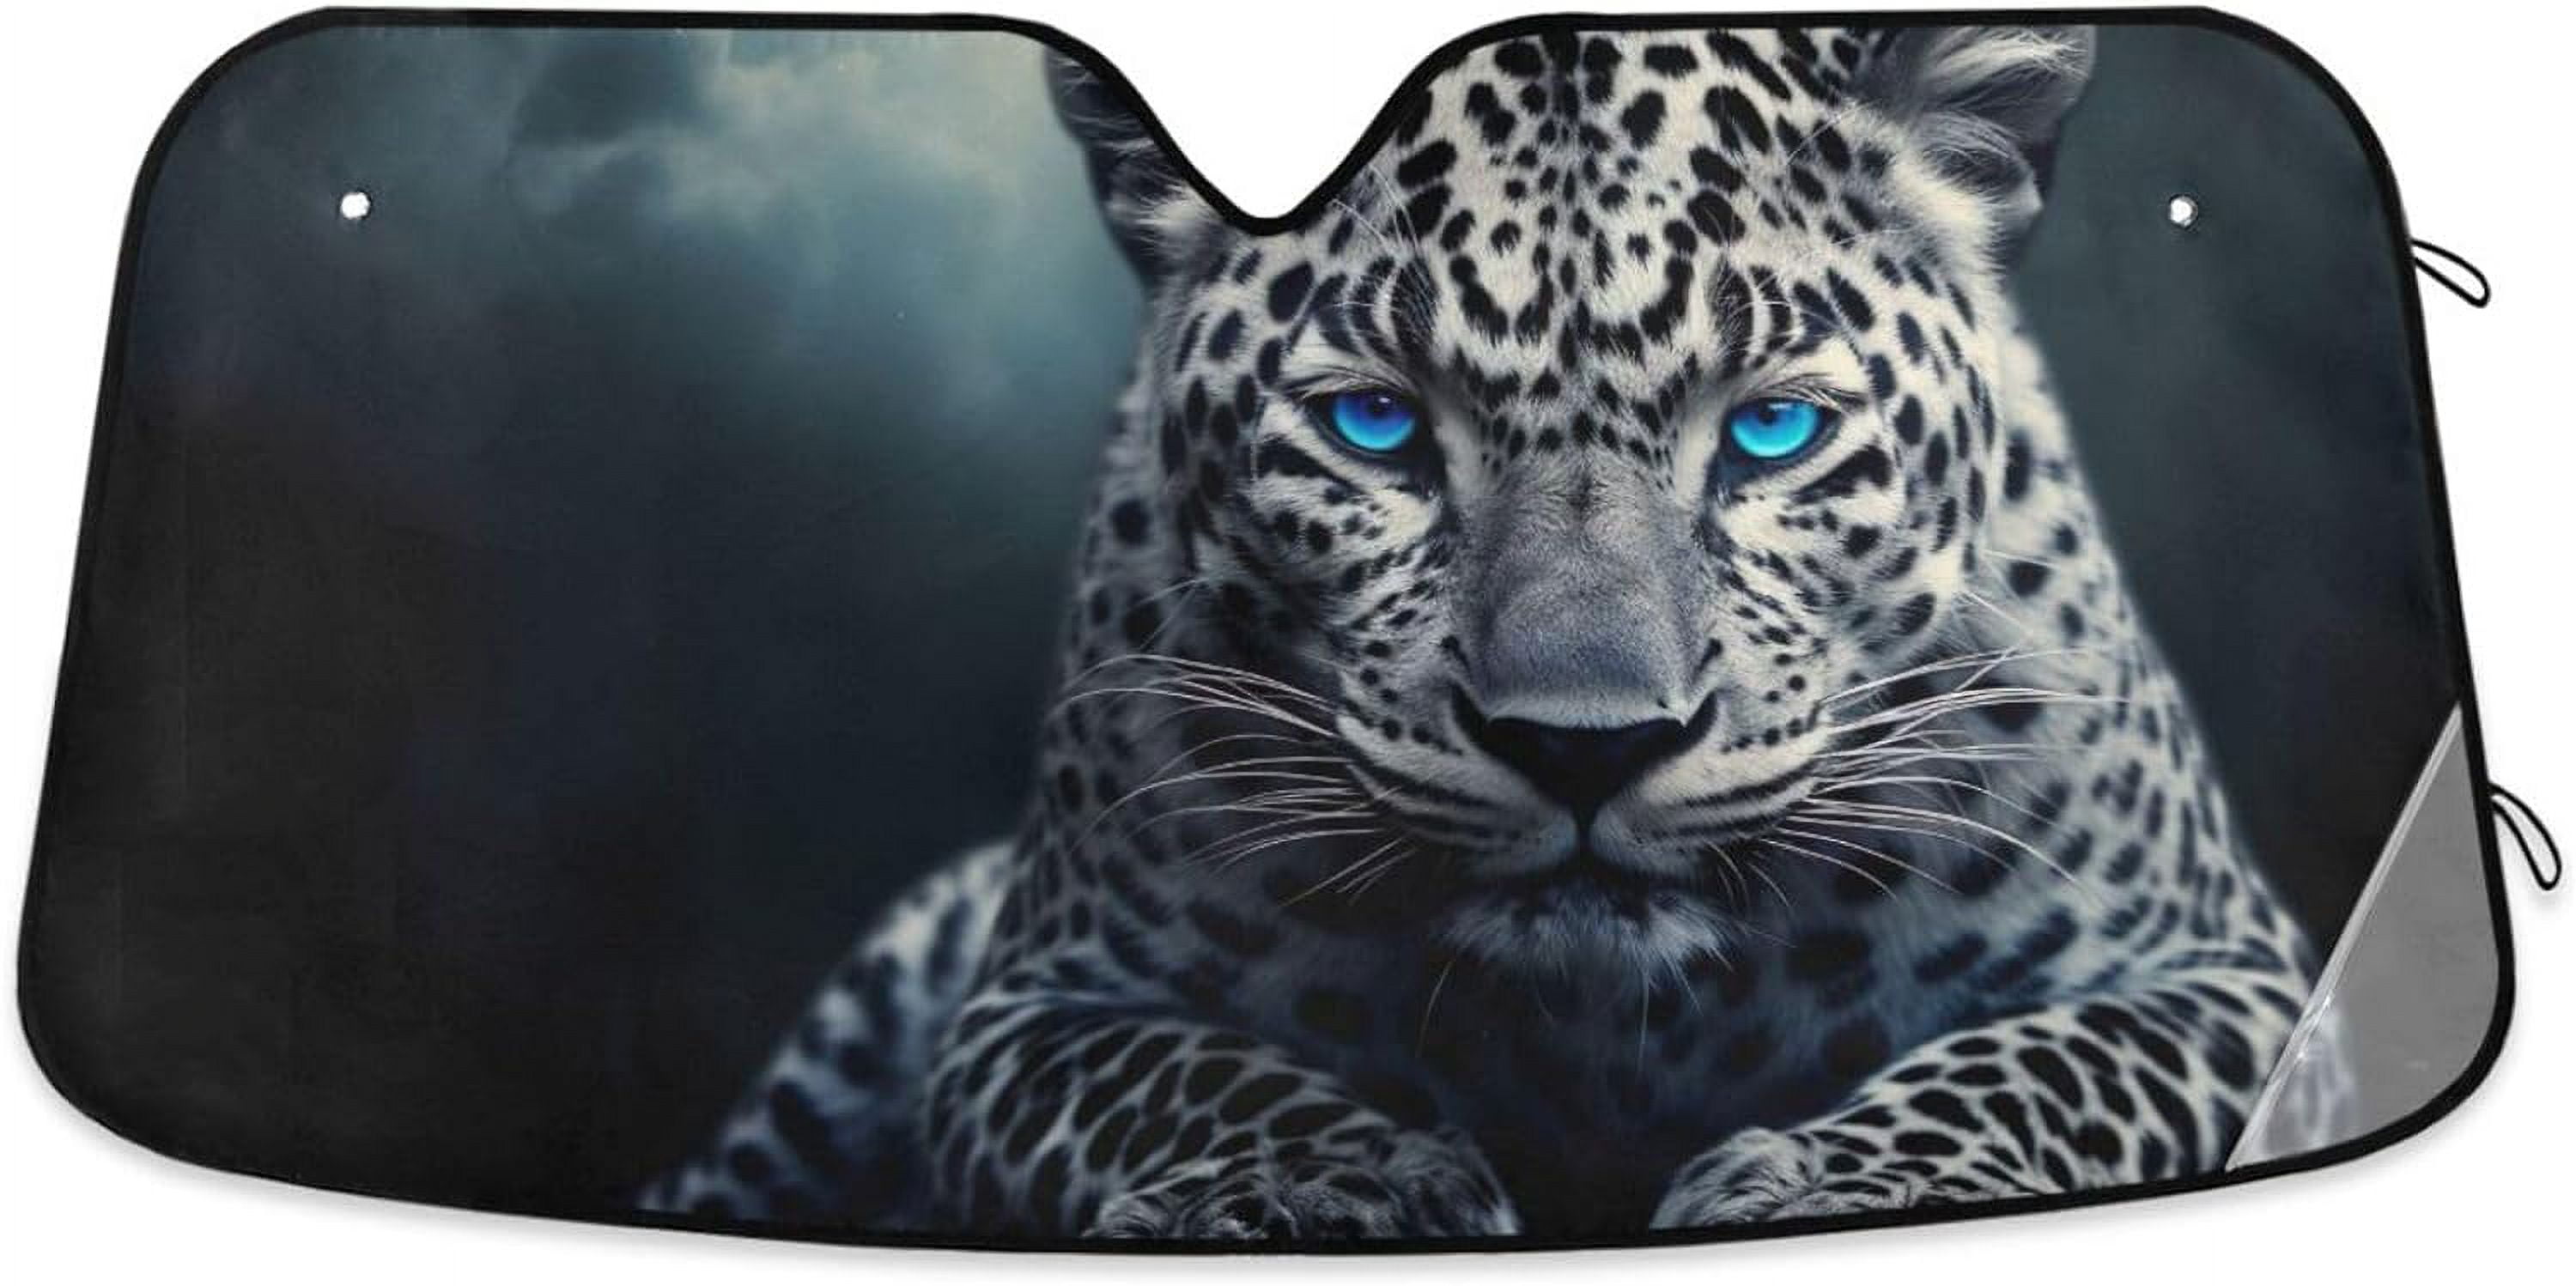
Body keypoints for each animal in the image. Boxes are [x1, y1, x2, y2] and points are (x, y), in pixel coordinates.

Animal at [640, 21, 2349, 1241]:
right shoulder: (1034, 1007)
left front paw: (1837, 1182)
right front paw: (1329, 1186)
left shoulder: (2233, 975)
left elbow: (2036, 1063)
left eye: (1774, 429)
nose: (1584, 751)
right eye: (1379, 427)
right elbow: (1185, 1075)